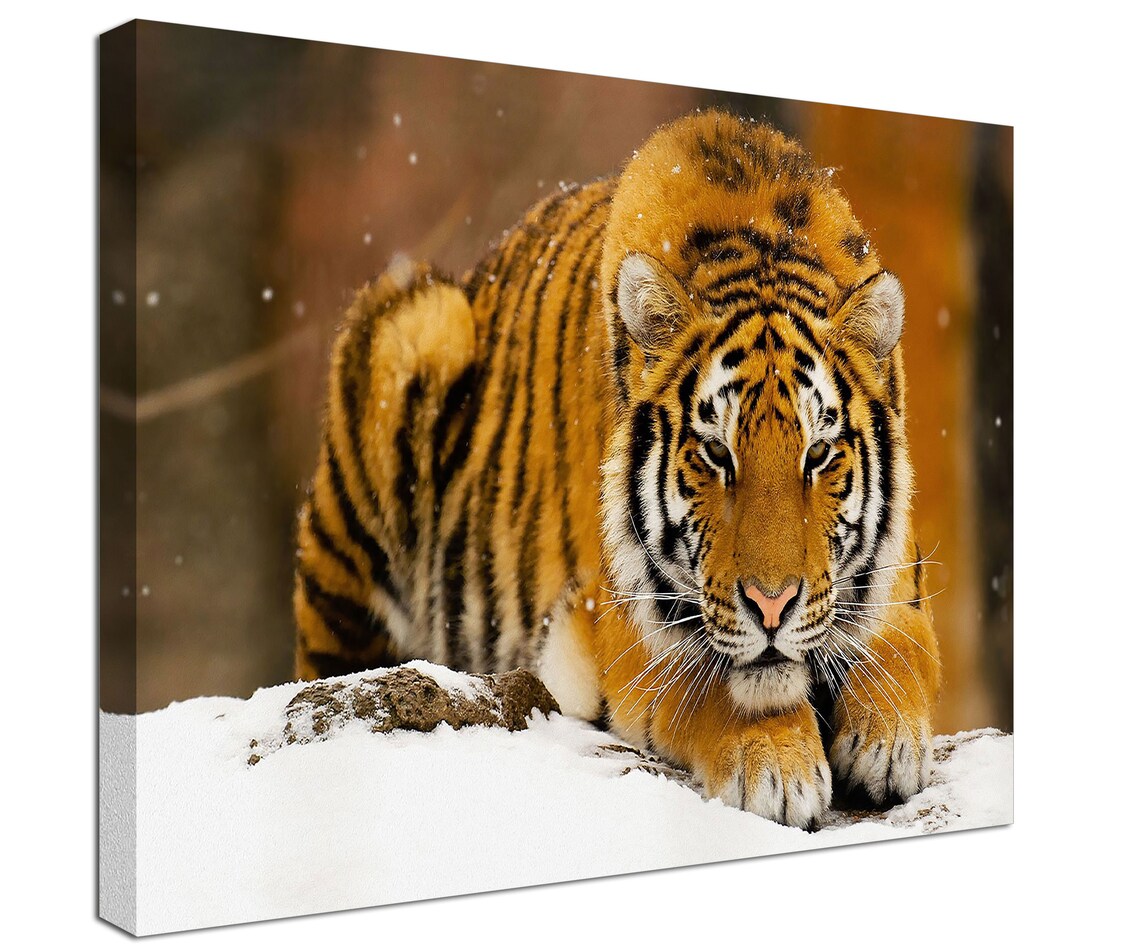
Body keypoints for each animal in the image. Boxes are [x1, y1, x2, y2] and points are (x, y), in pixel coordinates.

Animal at [292, 110, 941, 829]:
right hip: (410, 334)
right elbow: (713, 682)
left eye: (818, 454)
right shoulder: (621, 622)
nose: (772, 605)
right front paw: (777, 764)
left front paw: (888, 742)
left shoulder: (900, 579)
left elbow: (902, 647)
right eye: (716, 453)